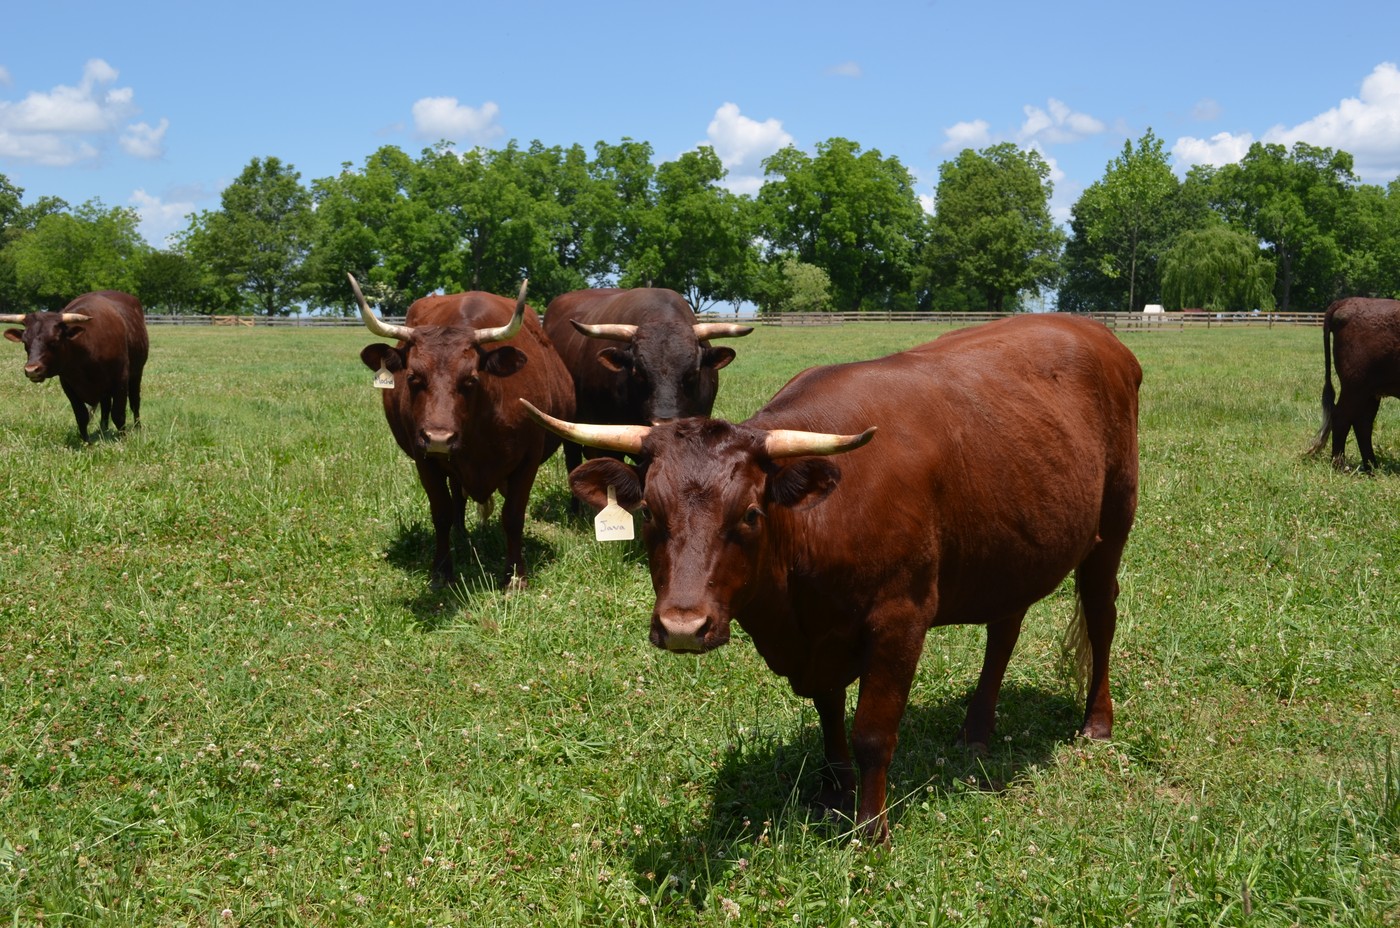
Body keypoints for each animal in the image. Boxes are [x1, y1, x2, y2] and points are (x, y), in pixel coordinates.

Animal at [2, 290, 149, 443]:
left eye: (54, 341)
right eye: (25, 342)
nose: (32, 370)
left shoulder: (120, 378)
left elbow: (118, 414)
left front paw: (122, 440)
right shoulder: (68, 385)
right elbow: (81, 415)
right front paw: (86, 443)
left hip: (136, 373)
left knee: (134, 402)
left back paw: (137, 427)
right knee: (106, 406)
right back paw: (103, 429)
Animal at [350, 274, 575, 589]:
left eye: (470, 379)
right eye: (413, 377)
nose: (439, 438)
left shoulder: (528, 460)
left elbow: (513, 516)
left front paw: (515, 576)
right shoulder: (425, 460)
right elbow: (441, 512)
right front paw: (442, 571)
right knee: (457, 497)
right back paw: (461, 535)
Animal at [523, 314, 1141, 842]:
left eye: (751, 514)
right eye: (650, 511)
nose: (682, 627)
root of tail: (1100, 335)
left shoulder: (900, 619)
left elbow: (873, 731)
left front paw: (871, 830)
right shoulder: (817, 638)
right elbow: (828, 713)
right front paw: (833, 791)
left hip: (1113, 525)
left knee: (1101, 616)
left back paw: (1097, 722)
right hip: (1010, 548)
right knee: (1004, 629)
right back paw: (976, 730)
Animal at [1306, 297, 1400, 471]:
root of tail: (1348, 301)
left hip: (1369, 392)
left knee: (1362, 423)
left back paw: (1371, 467)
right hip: (1355, 386)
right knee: (1342, 417)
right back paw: (1340, 465)